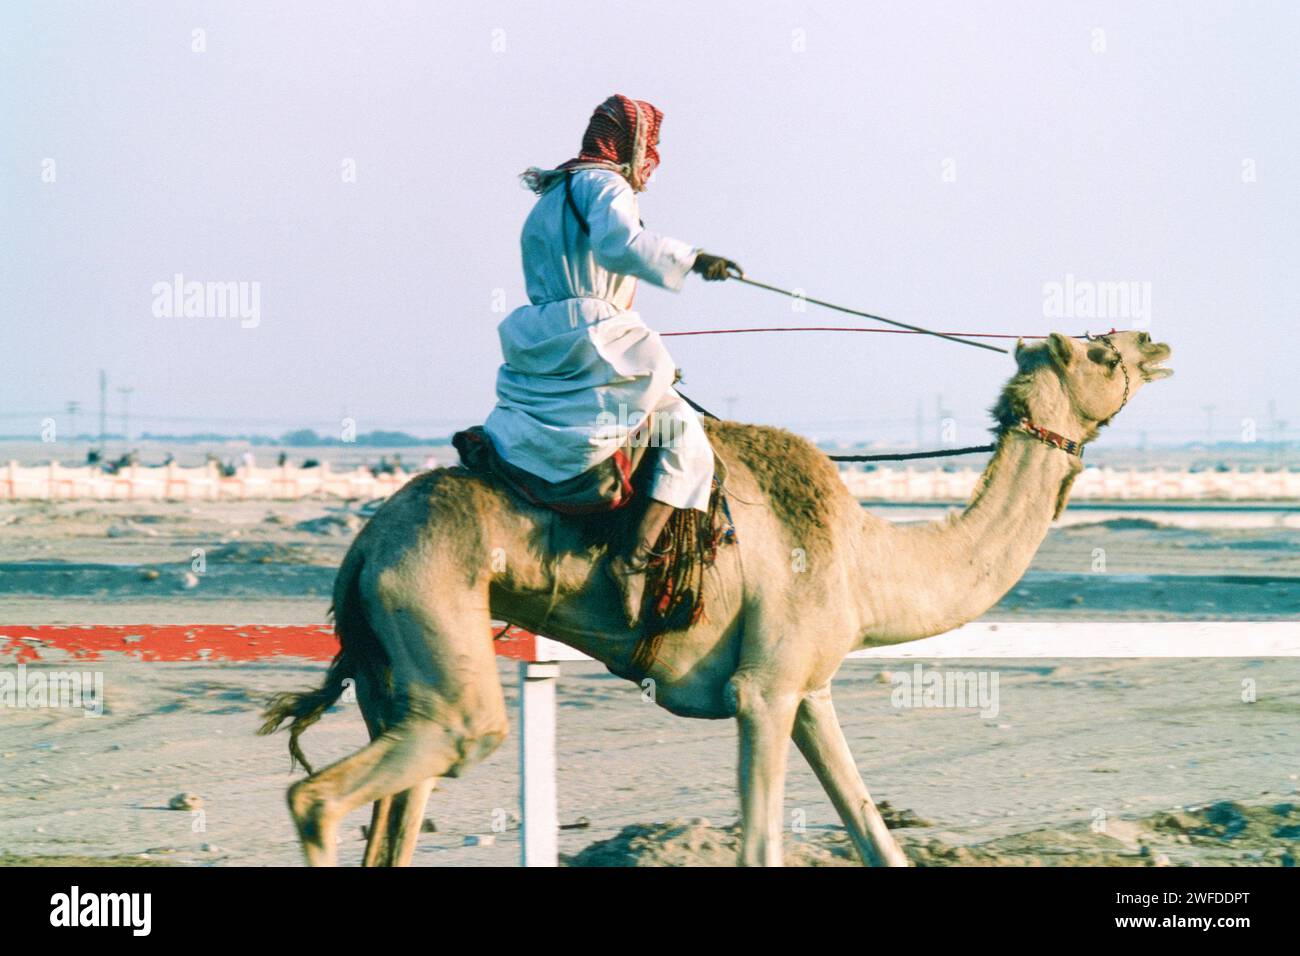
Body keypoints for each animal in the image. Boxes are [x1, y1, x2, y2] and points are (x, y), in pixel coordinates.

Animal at [261, 329, 1172, 866]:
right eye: (1101, 353)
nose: (1155, 341)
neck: (865, 559)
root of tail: (364, 545)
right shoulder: (760, 692)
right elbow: (761, 845)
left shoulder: (808, 689)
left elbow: (874, 832)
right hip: (436, 625)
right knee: (327, 793)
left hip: (392, 671)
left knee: (392, 818)